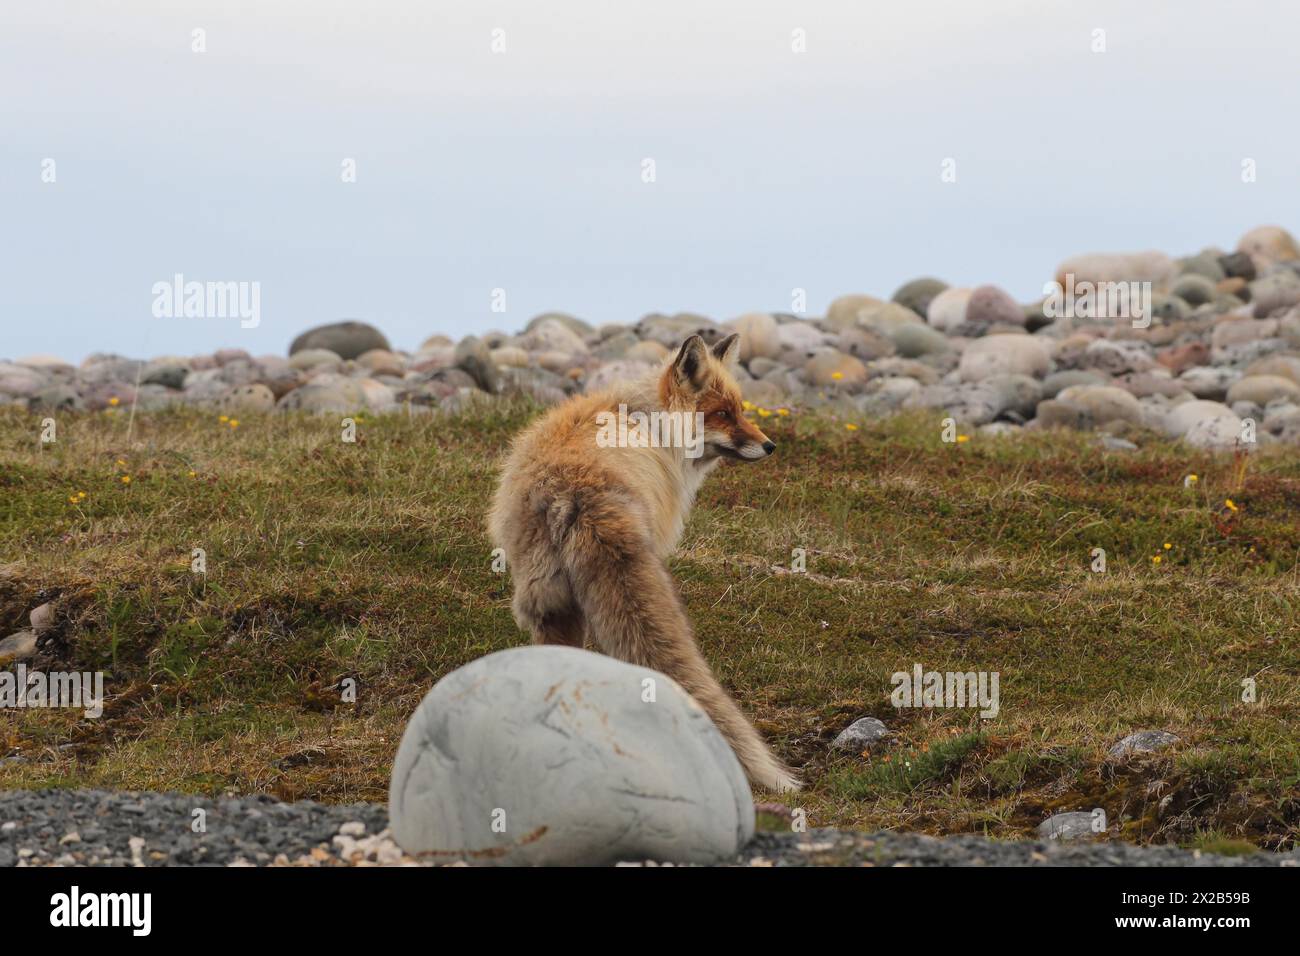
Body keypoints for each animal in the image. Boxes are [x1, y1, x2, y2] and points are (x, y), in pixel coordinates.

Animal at [488, 332, 801, 793]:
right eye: (722, 414)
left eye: (741, 410)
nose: (770, 446)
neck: (649, 424)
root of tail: (573, 491)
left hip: (545, 598)